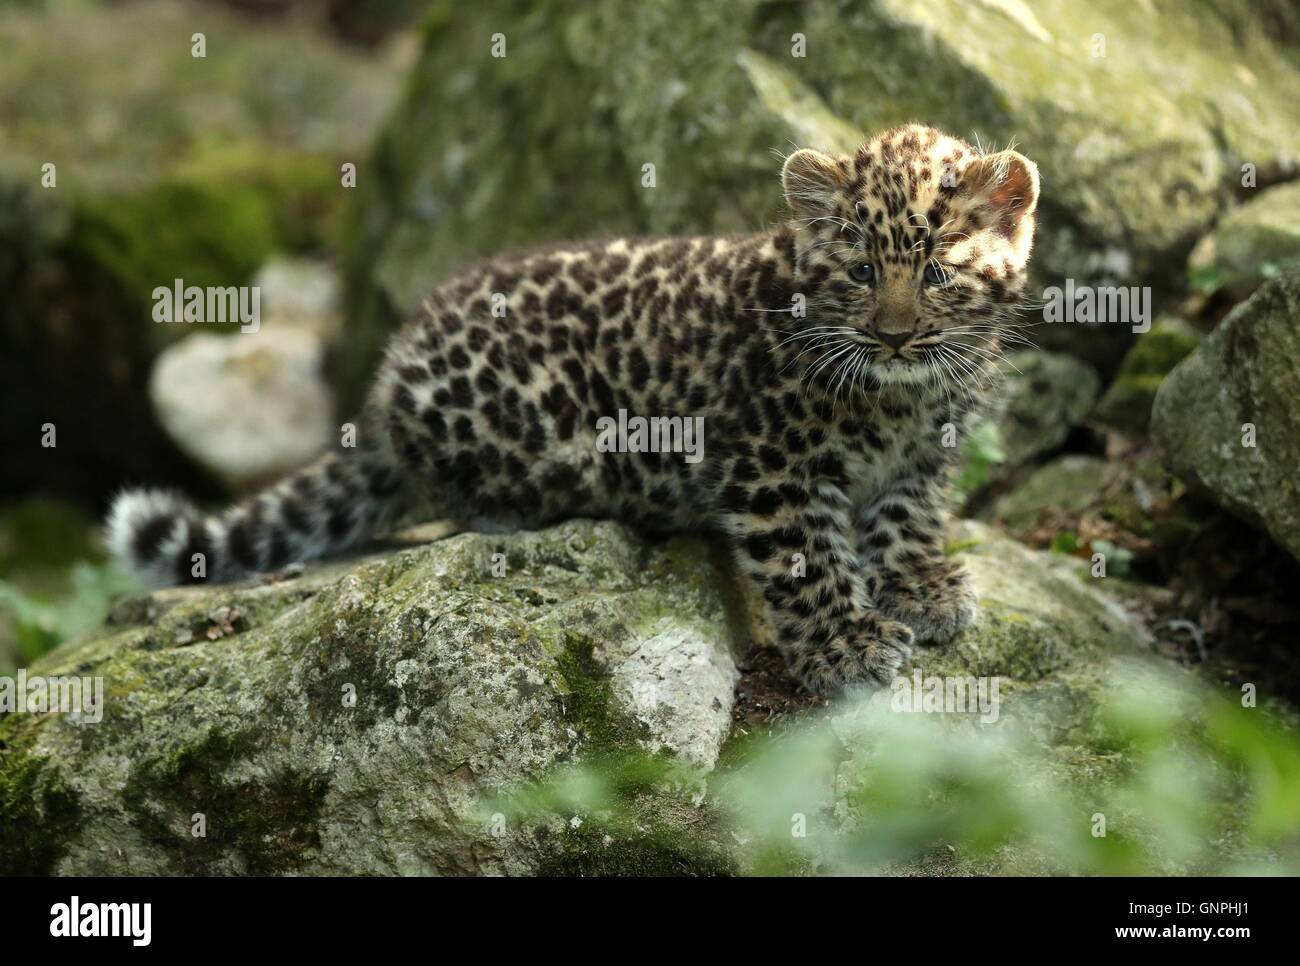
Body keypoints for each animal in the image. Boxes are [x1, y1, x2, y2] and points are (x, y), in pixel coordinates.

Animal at [108, 122, 1040, 696]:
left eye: (936, 272)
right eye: (859, 272)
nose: (892, 335)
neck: (904, 399)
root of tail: (390, 370)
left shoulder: (925, 456)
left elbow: (907, 518)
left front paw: (920, 587)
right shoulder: (771, 466)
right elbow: (808, 559)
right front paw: (848, 643)